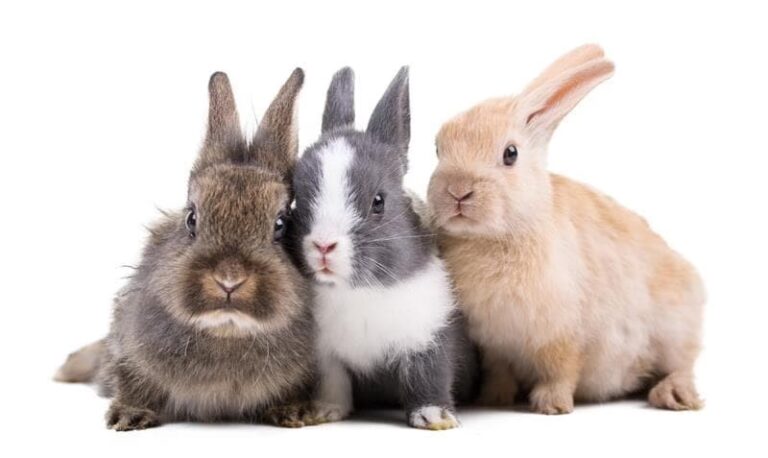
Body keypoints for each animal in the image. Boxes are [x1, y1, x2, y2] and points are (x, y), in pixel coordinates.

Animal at [54, 69, 317, 430]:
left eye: (281, 225)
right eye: (191, 218)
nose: (229, 279)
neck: (227, 331)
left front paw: (293, 412)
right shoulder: (130, 353)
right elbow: (132, 382)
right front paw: (128, 416)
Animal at [287, 67, 479, 430]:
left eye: (379, 201)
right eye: (296, 200)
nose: (323, 245)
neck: (358, 291)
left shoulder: (430, 334)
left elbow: (428, 376)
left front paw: (435, 418)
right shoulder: (325, 354)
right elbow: (333, 384)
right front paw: (324, 412)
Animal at [427, 44, 705, 414]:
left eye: (510, 154)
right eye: (438, 148)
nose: (458, 191)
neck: (496, 238)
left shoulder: (563, 335)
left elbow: (560, 369)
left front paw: (552, 405)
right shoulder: (495, 343)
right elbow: (500, 371)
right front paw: (494, 399)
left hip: (675, 329)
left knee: (683, 364)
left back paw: (673, 394)